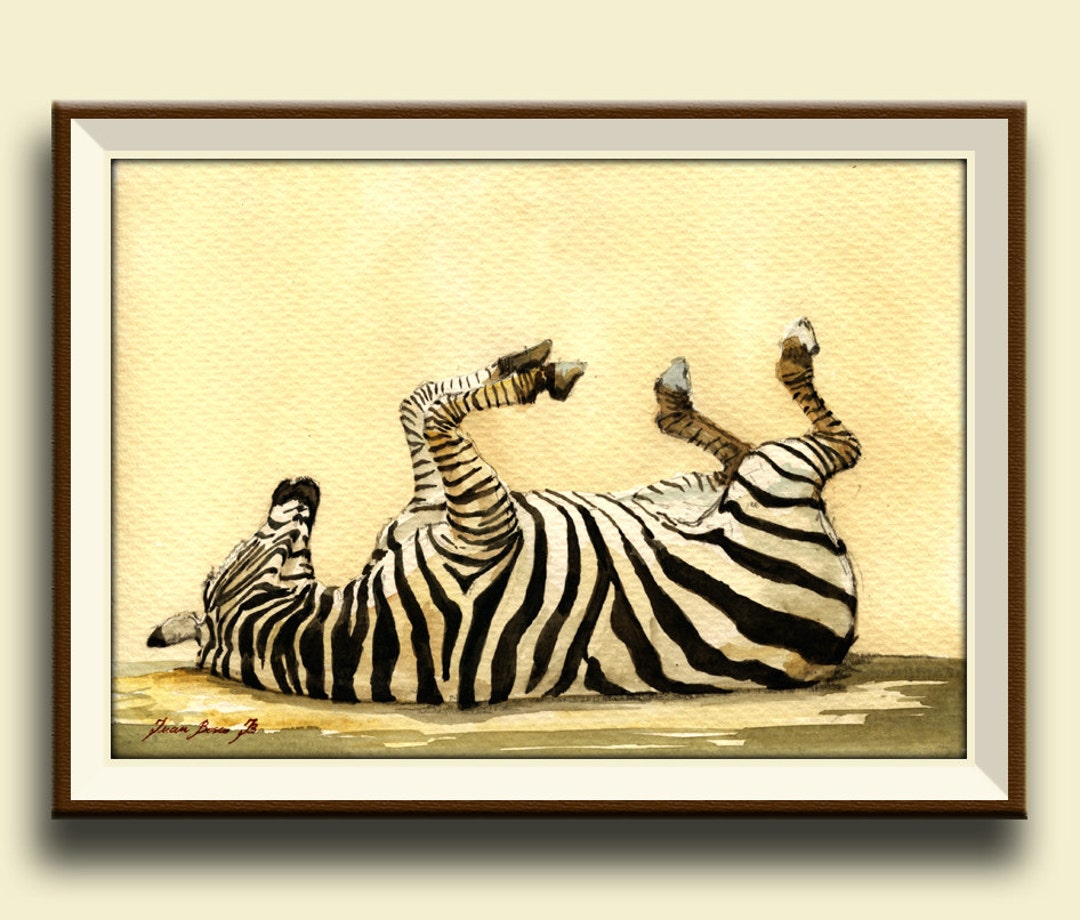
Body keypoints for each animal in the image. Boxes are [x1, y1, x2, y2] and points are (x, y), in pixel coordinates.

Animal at [147, 317, 860, 707]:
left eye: (234, 548)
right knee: (836, 447)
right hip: (778, 476)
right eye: (252, 543)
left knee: (736, 454)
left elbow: (417, 405)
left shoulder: (435, 512)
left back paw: (673, 399)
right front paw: (532, 377)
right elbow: (437, 414)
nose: (293, 480)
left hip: (691, 488)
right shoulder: (487, 524)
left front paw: (516, 363)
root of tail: (842, 631)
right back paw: (789, 353)